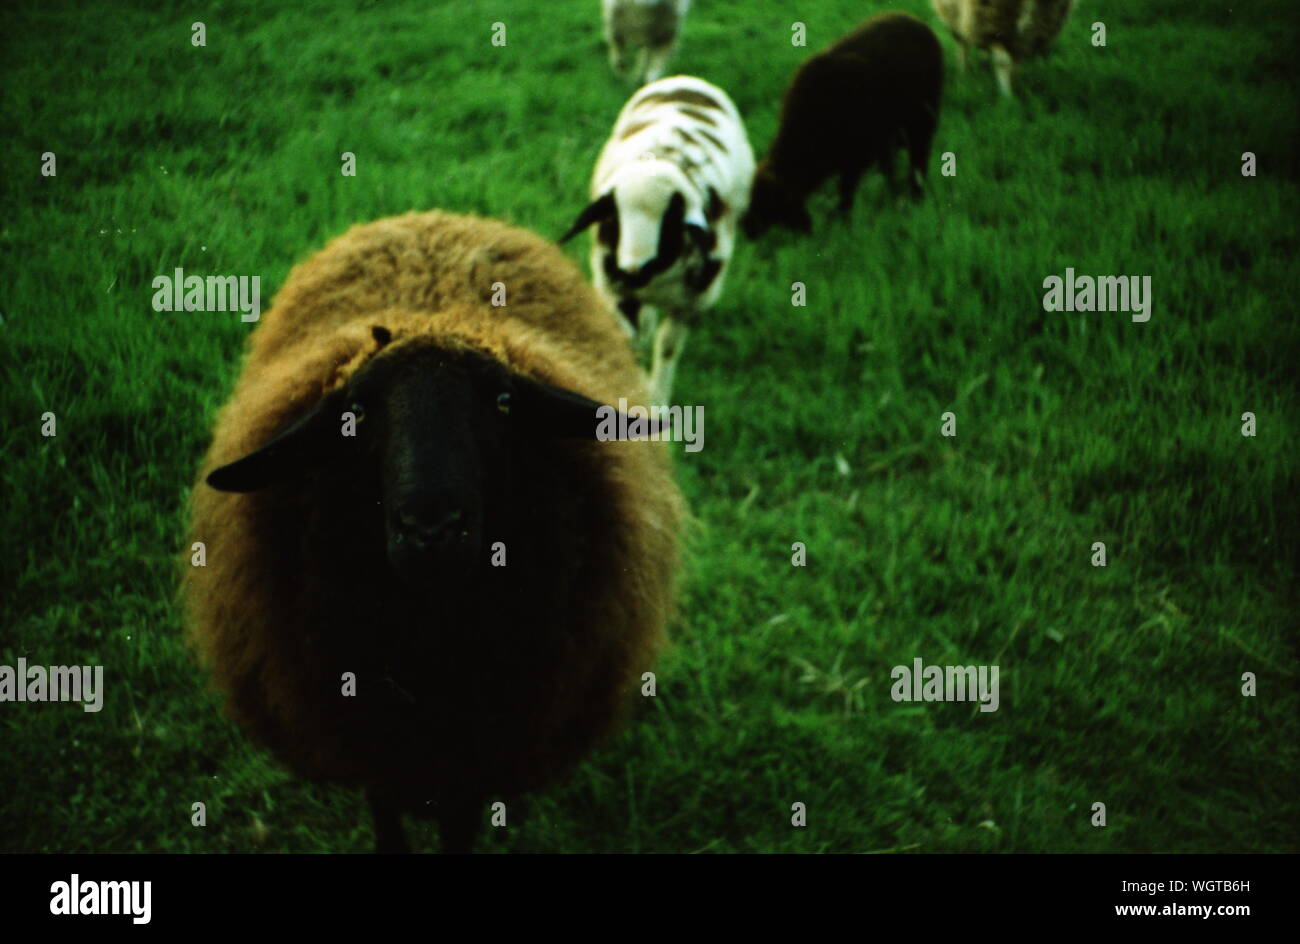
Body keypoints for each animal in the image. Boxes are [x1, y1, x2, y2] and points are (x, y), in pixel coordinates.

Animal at [183, 210, 685, 854]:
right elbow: (388, 822)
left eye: (503, 401)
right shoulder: (369, 742)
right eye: (356, 415)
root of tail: (439, 216)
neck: (433, 637)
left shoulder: (478, 751)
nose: (431, 529)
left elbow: (457, 828)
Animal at [560, 74, 753, 404]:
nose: (632, 269)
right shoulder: (614, 288)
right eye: (615, 216)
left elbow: (667, 348)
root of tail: (689, 80)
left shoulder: (692, 302)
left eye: (671, 221)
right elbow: (626, 340)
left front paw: (658, 403)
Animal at [742, 12, 943, 239]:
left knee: (918, 162)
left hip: (923, 121)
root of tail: (917, 22)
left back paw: (917, 197)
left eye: (764, 202)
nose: (747, 231)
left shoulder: (855, 160)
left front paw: (843, 226)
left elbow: (846, 196)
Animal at [932, 0, 1076, 96]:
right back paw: (963, 74)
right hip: (956, 18)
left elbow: (1015, 67)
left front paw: (1016, 86)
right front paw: (1007, 96)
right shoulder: (991, 28)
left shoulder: (1025, 39)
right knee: (962, 46)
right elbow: (1003, 62)